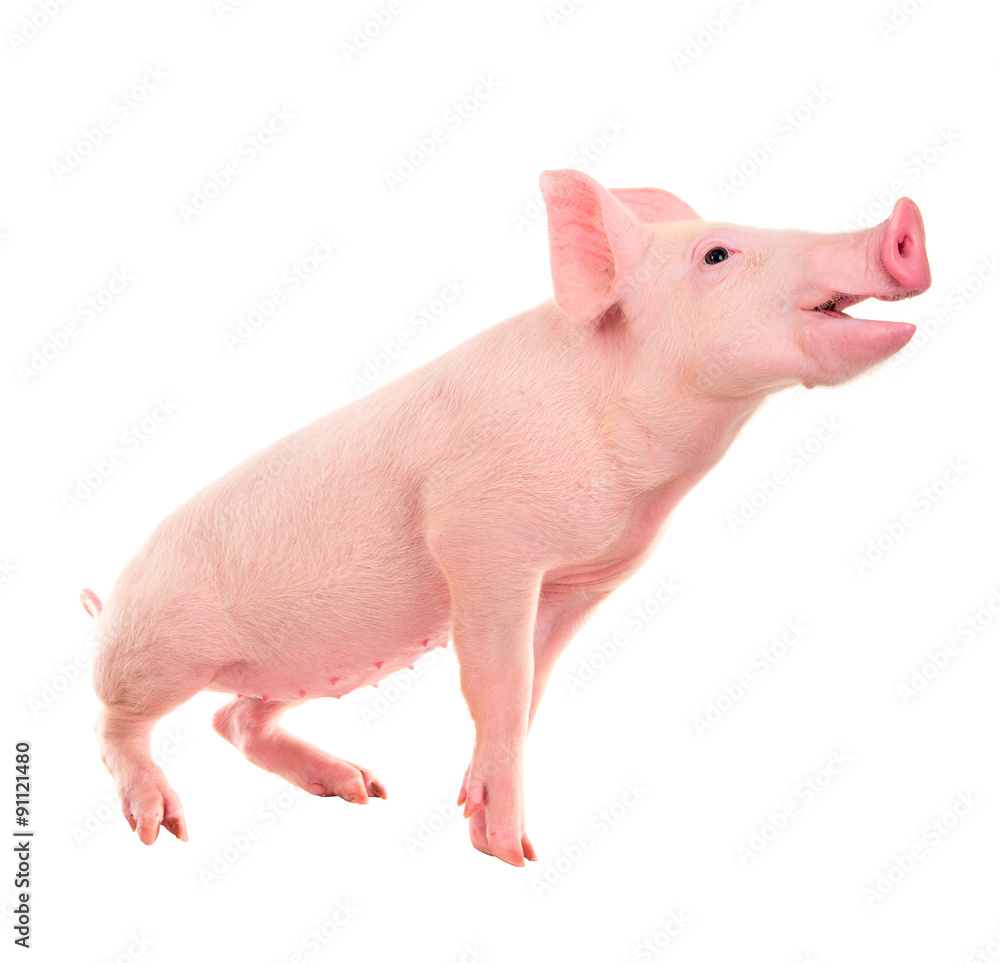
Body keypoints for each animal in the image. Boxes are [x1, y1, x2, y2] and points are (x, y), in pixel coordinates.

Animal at [82, 169, 930, 866]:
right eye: (717, 254)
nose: (906, 217)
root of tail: (112, 599)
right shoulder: (479, 540)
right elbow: (496, 679)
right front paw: (515, 852)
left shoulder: (587, 579)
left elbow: (528, 693)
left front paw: (476, 812)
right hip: (157, 648)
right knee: (117, 722)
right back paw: (164, 827)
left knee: (234, 719)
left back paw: (361, 786)